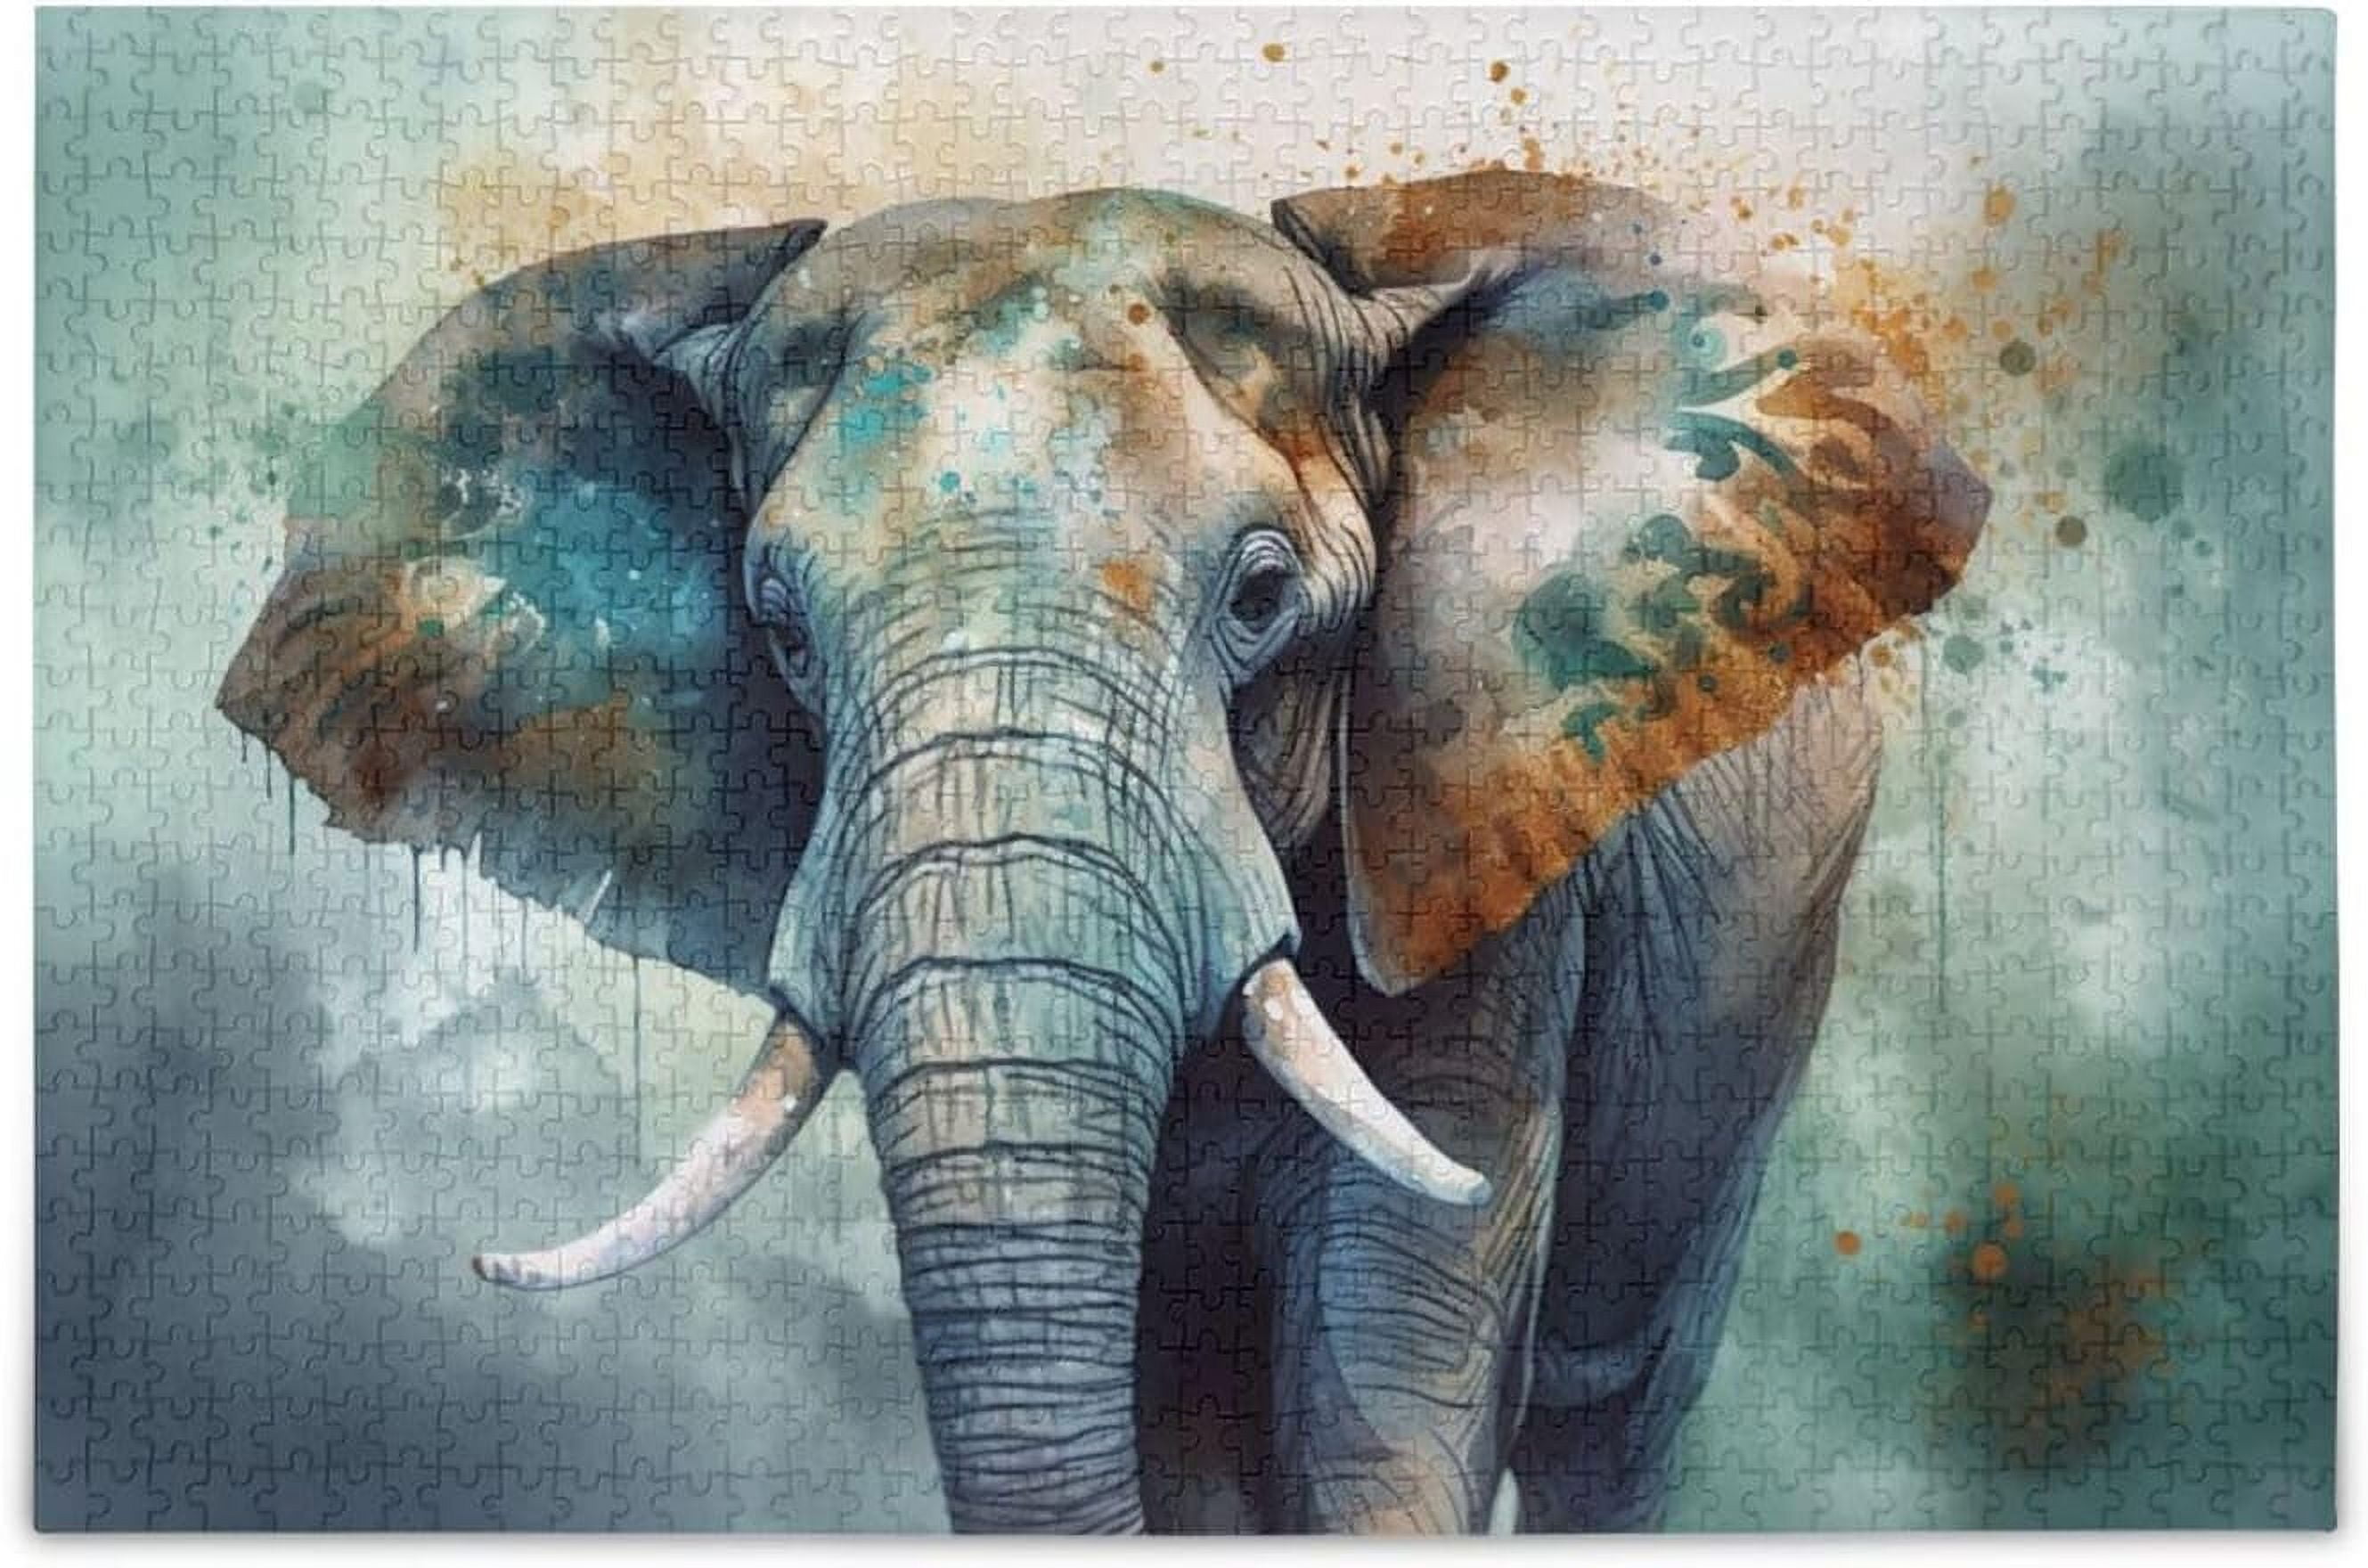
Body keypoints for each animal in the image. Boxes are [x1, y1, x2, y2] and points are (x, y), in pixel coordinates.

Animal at [218, 169, 1988, 1533]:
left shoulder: (1466, 844)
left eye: (1261, 600)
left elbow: (1393, 1328)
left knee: (1610, 1390)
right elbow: (1167, 1384)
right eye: (779, 630)